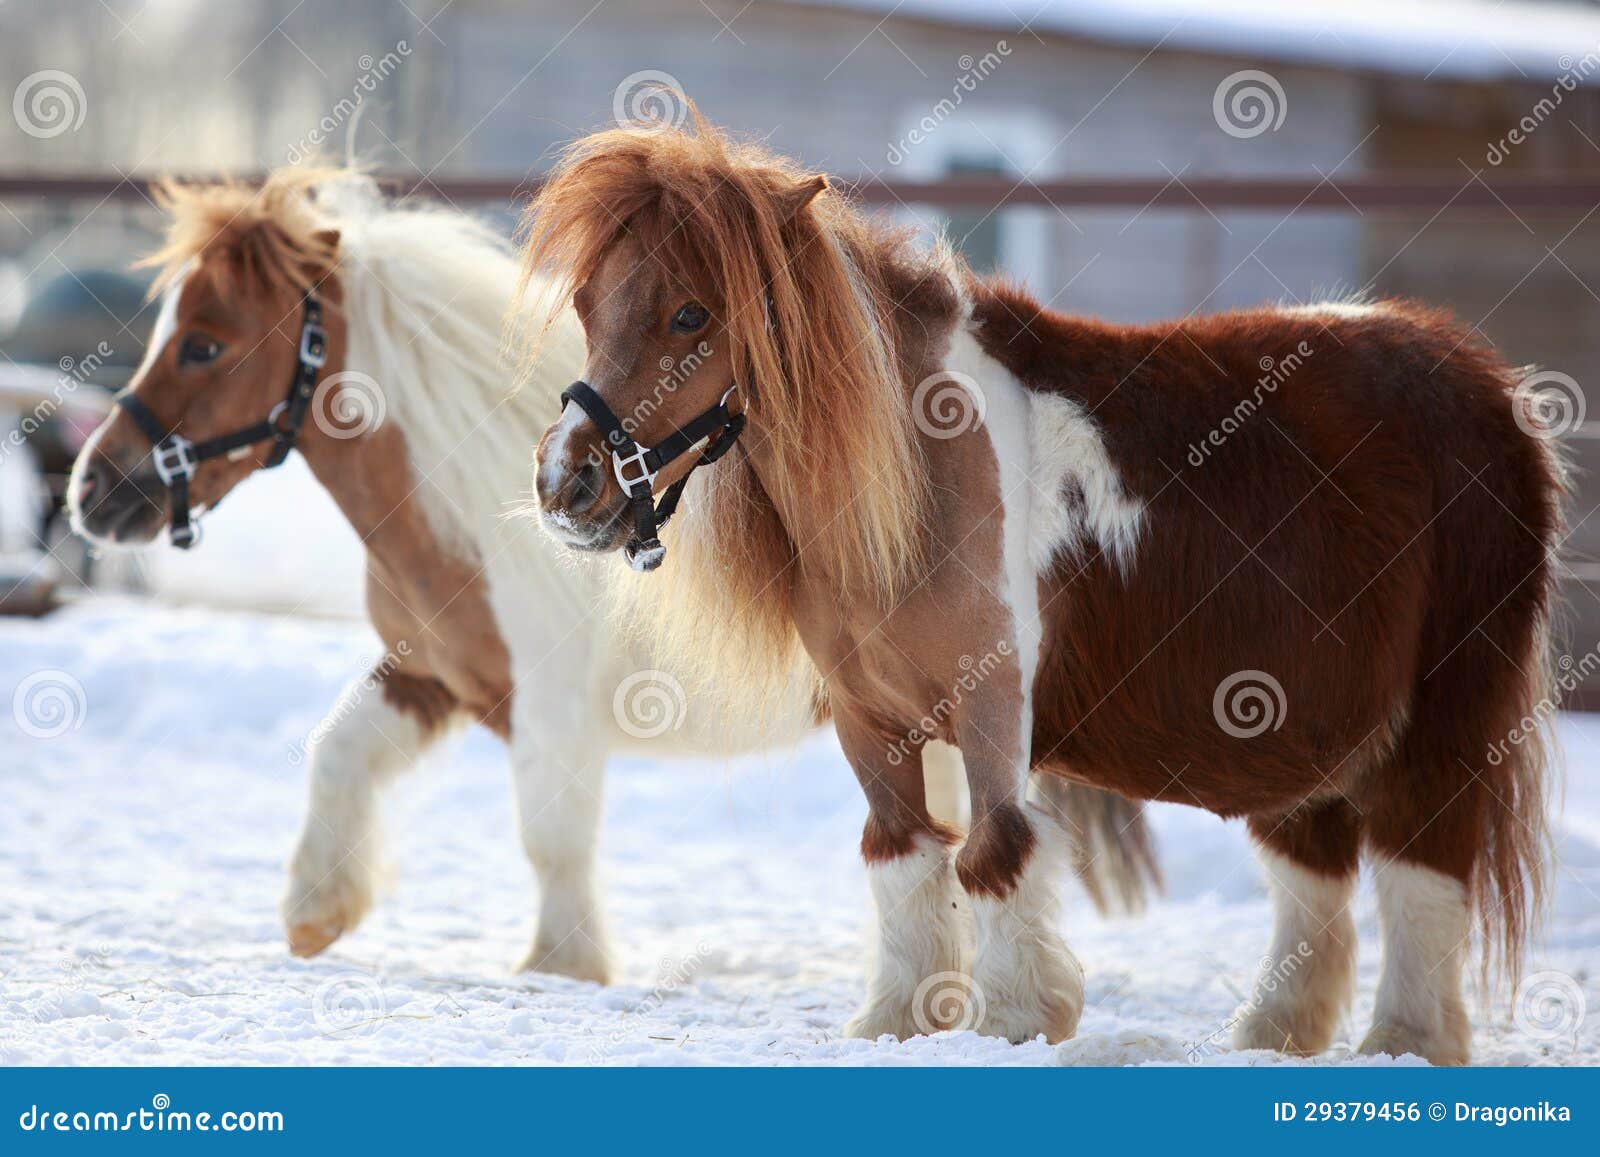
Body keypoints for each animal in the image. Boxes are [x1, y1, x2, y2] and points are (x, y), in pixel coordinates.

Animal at [66, 168, 1155, 986]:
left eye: (203, 341)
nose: (93, 487)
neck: (466, 499)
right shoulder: (432, 672)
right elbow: (337, 751)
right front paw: (314, 915)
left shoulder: (551, 706)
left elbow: (551, 834)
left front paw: (562, 963)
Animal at [522, 112, 1564, 1064]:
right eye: (588, 301)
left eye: (691, 314)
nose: (568, 484)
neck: (924, 473)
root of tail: (1485, 386)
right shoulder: (871, 718)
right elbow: (901, 854)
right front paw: (899, 1019)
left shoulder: (992, 706)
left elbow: (996, 855)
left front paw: (1017, 1021)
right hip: (1295, 723)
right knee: (1315, 872)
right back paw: (1275, 1034)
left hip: (1446, 719)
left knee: (1425, 870)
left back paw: (1408, 1042)